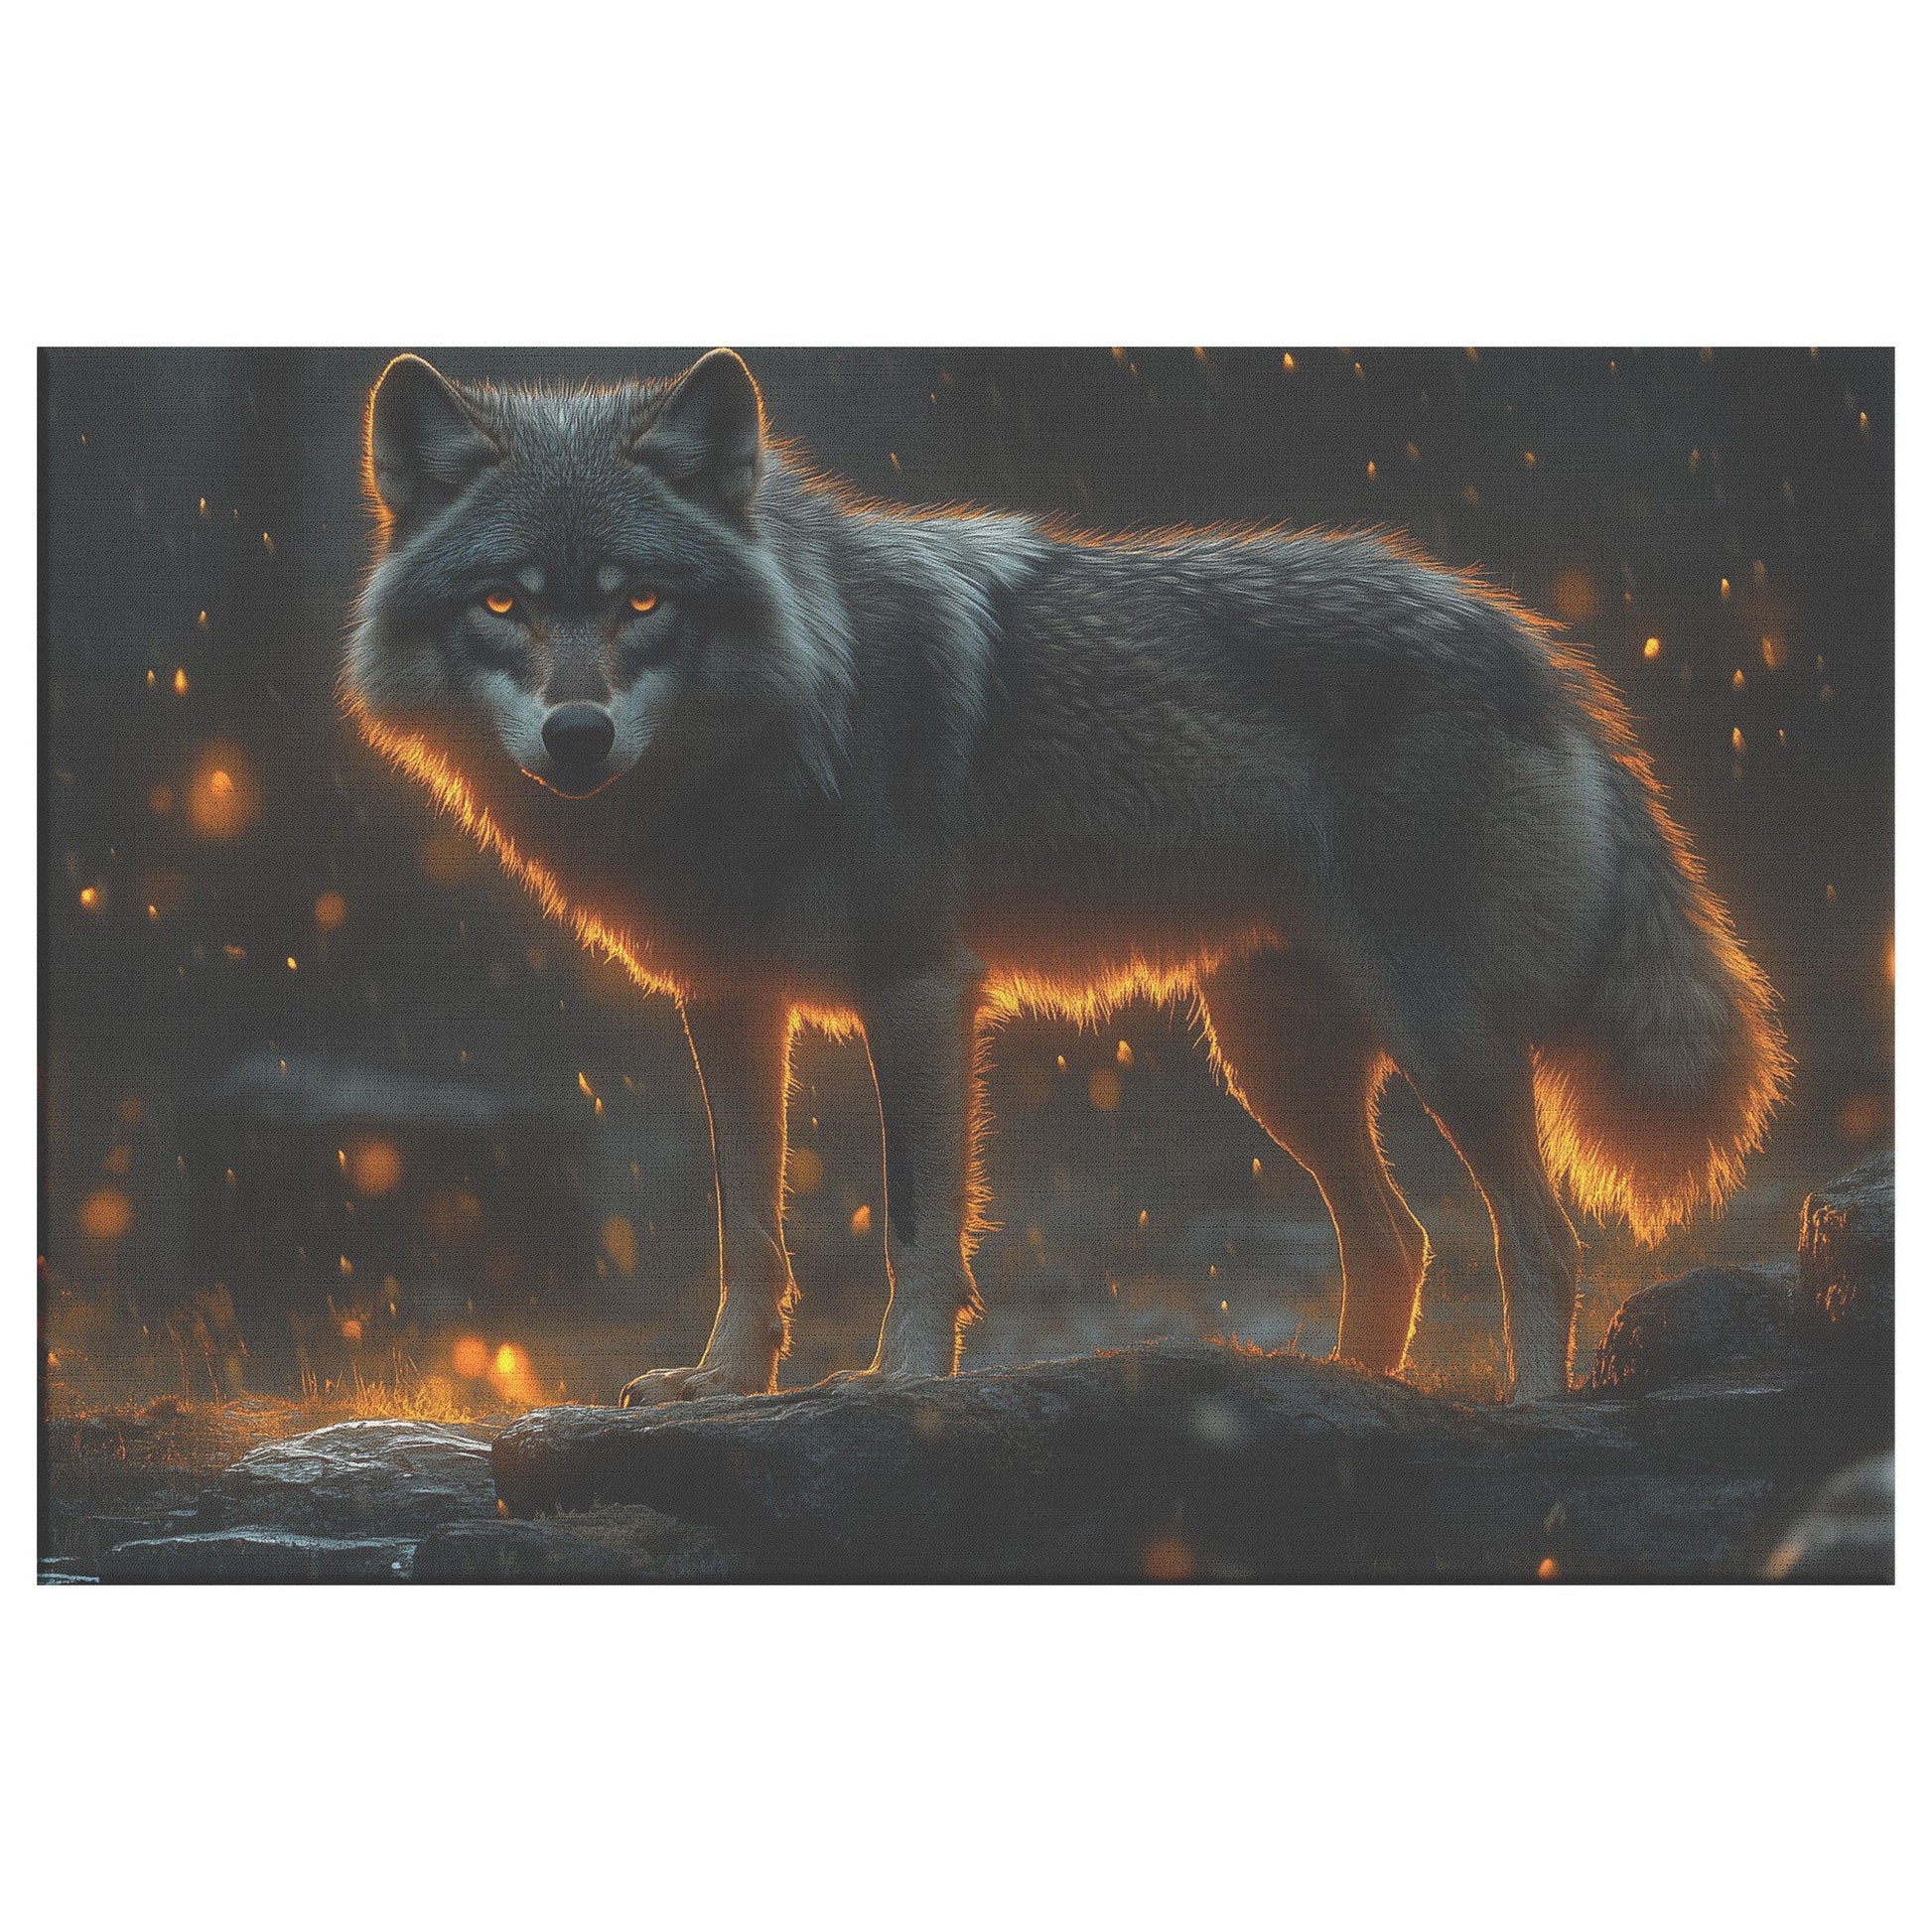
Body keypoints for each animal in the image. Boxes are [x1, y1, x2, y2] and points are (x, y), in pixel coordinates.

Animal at [343, 348, 1789, 1404]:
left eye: (639, 600)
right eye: (504, 603)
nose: (576, 736)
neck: (793, 709)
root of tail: (1526, 635)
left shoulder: (919, 990)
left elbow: (915, 1226)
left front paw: (898, 1384)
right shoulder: (727, 1003)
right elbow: (745, 1226)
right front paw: (720, 1383)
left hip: (1442, 1039)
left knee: (1537, 1237)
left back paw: (1527, 1412)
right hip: (1278, 1065)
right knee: (1400, 1241)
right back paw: (1341, 1397)